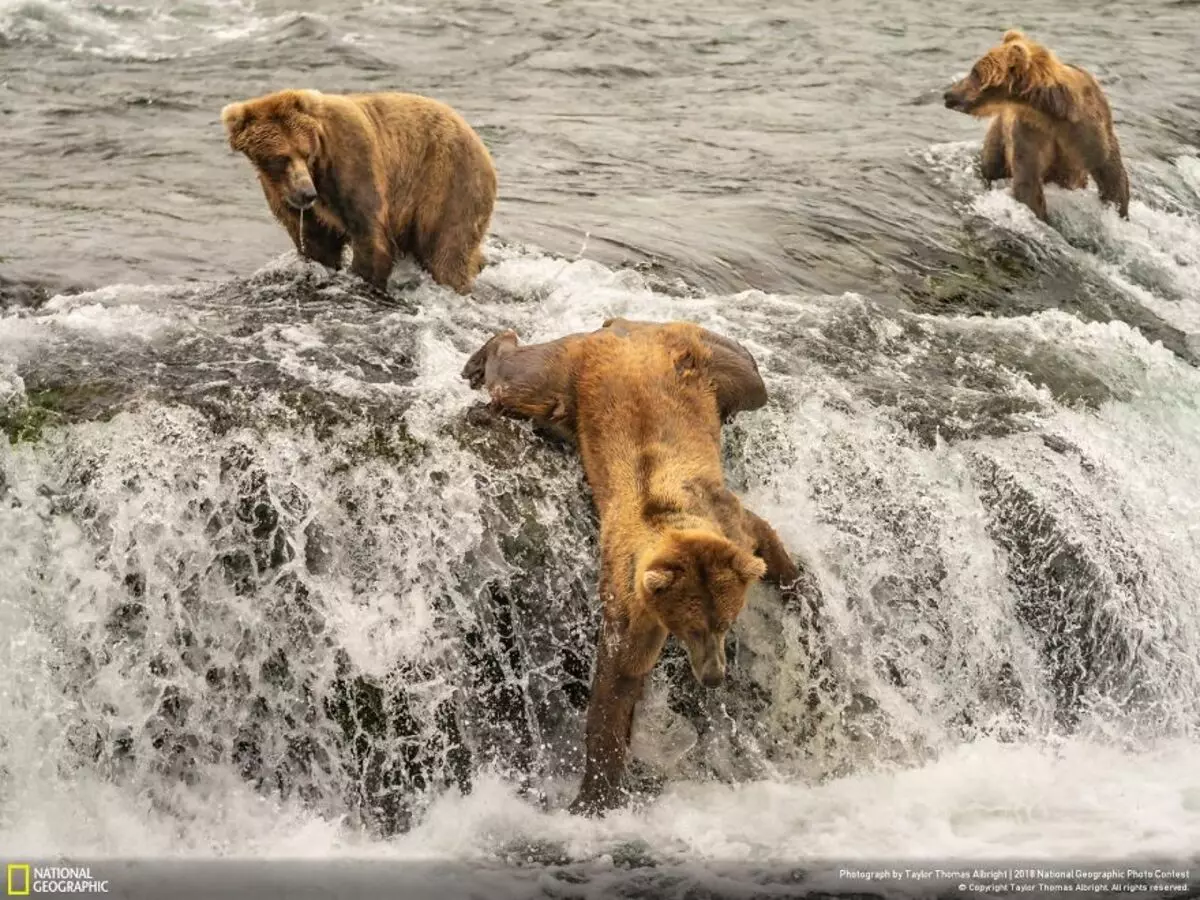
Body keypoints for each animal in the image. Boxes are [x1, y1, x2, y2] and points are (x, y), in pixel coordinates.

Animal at [220, 88, 496, 292]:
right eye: (280, 158)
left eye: (305, 153)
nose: (307, 193)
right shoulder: (285, 195)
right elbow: (316, 243)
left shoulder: (352, 161)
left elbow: (370, 235)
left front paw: (363, 277)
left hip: (449, 182)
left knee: (447, 252)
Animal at [463, 316, 811, 816]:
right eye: (691, 628)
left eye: (726, 623)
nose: (714, 676)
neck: (670, 518)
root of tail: (624, 328)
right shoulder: (632, 593)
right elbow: (620, 675)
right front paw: (595, 793)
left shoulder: (730, 522)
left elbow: (765, 539)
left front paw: (797, 588)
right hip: (571, 376)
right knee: (521, 381)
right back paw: (484, 359)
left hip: (701, 357)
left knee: (750, 379)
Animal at [940, 32, 1128, 224]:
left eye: (975, 72)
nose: (948, 94)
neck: (1050, 112)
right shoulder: (1029, 132)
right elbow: (1028, 180)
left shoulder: (1085, 129)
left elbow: (1109, 171)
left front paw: (1117, 212)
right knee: (991, 164)